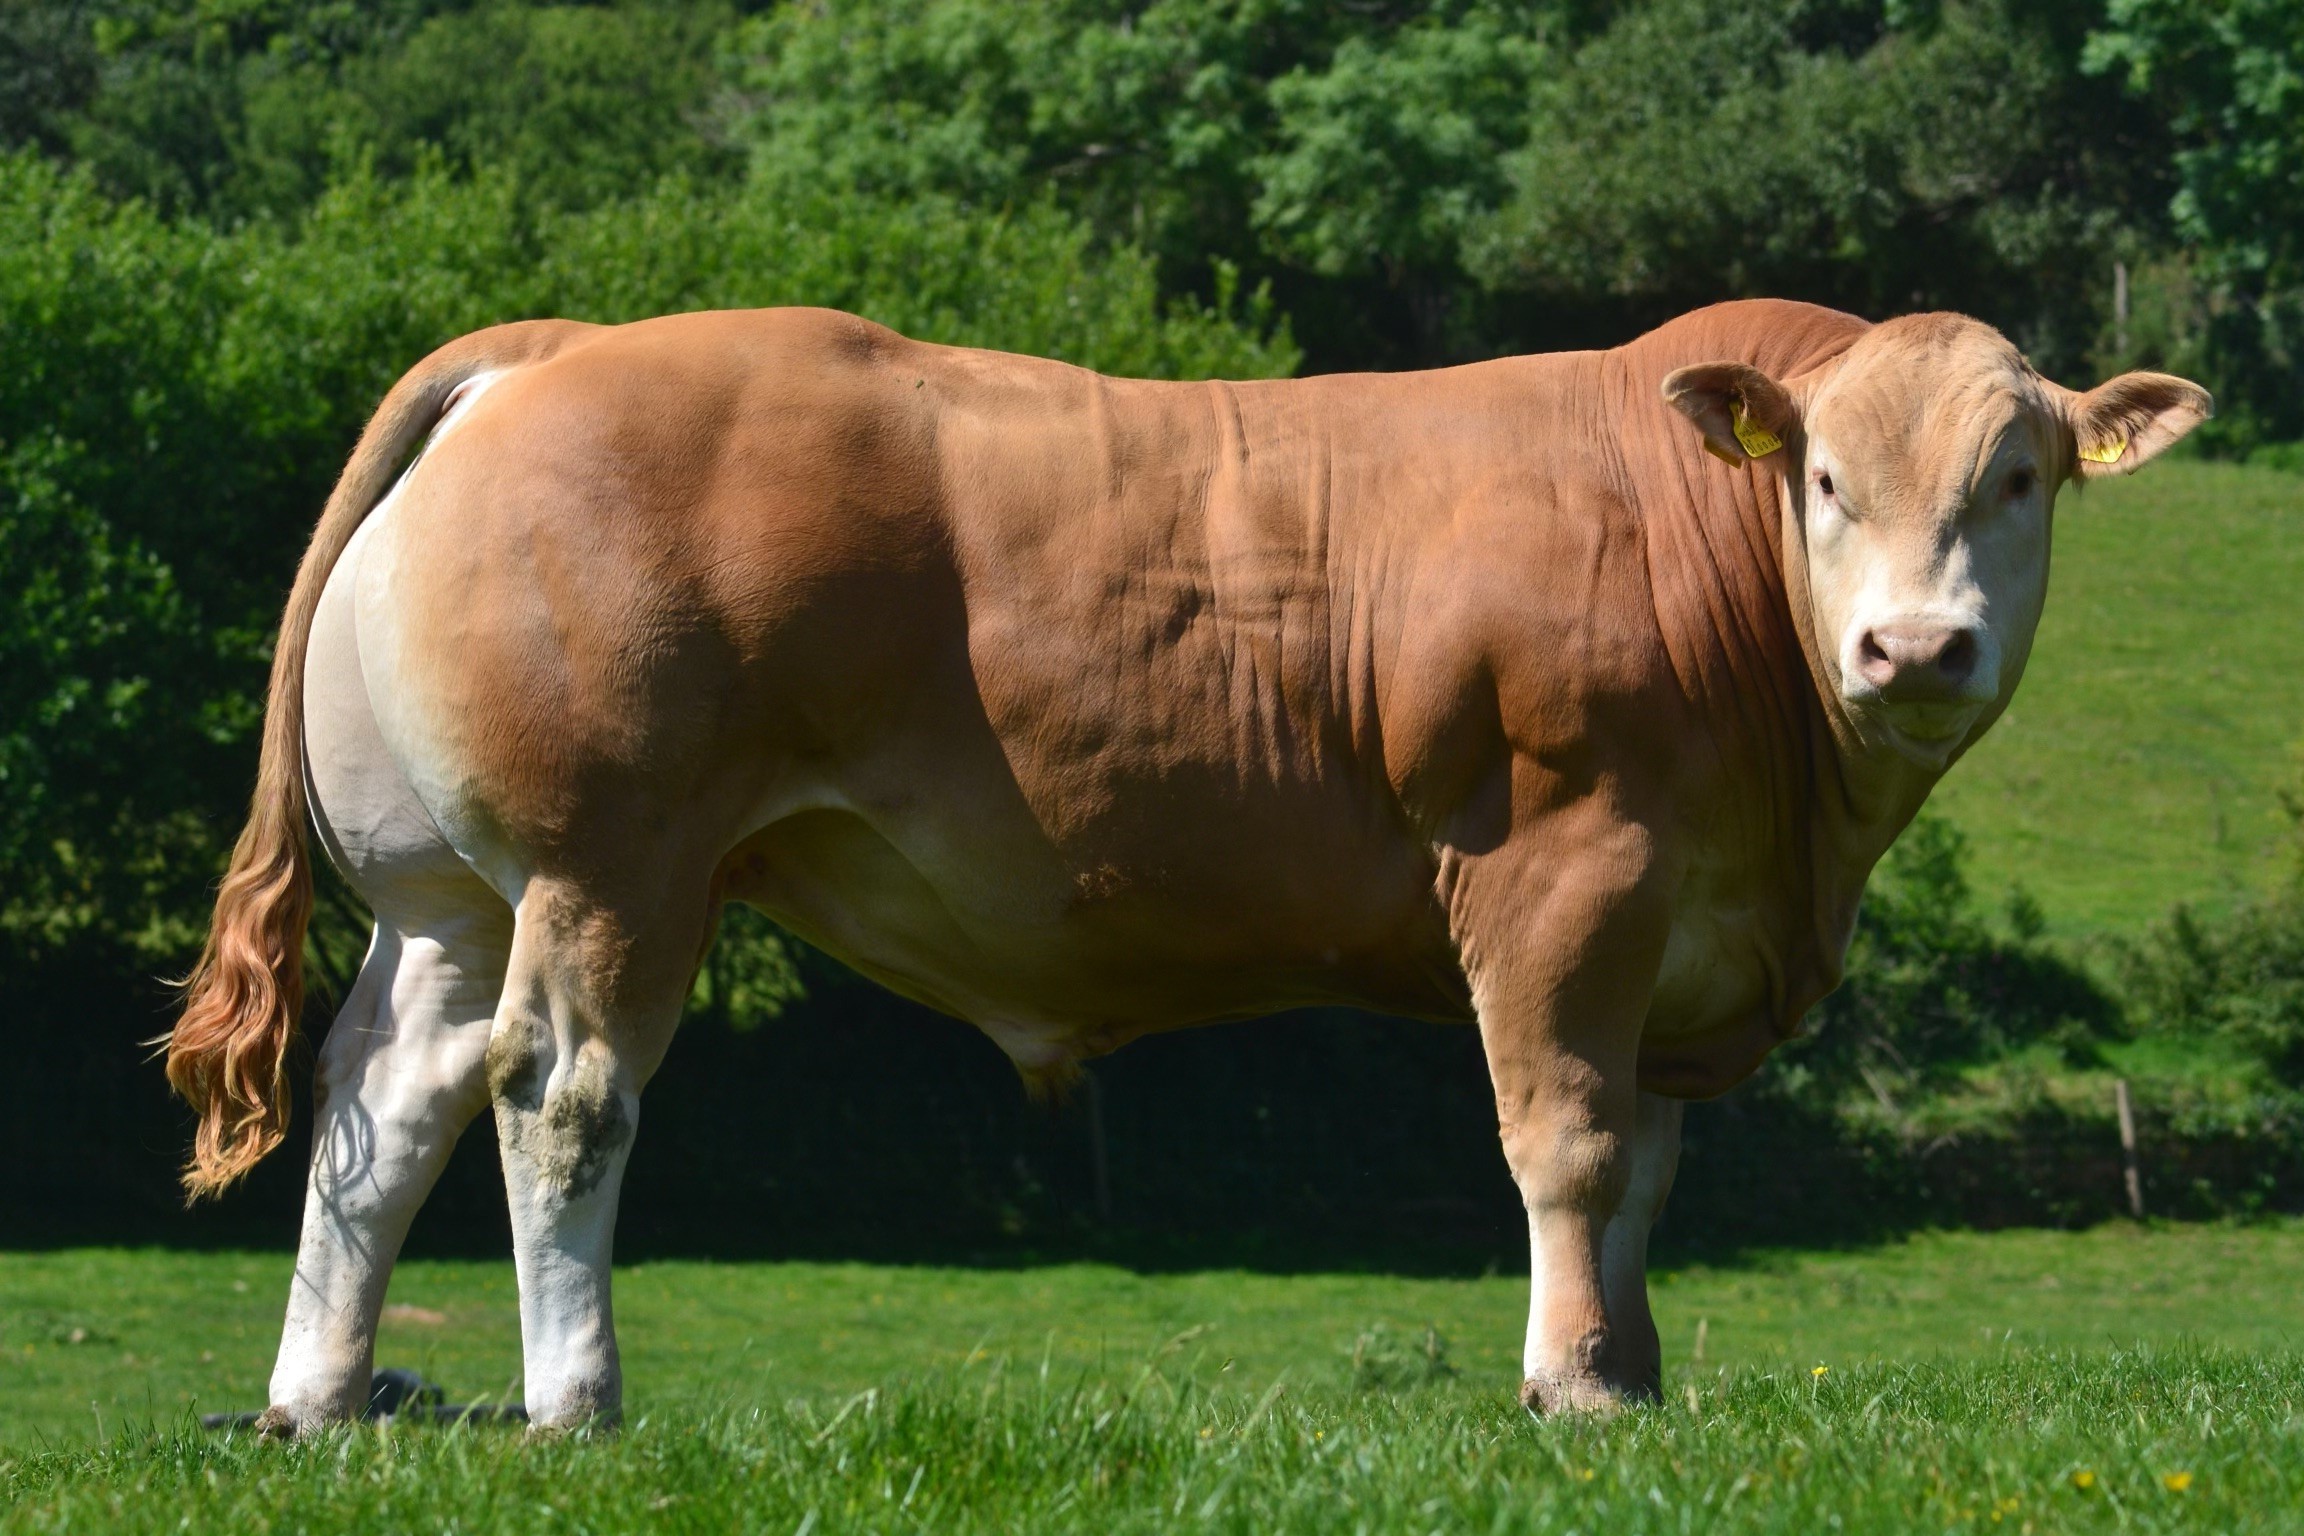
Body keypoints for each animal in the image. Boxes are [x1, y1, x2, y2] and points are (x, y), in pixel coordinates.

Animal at [165, 299, 2208, 1434]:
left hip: (450, 897)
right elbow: (1566, 1143)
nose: (1913, 649)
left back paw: (312, 1402)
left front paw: (1628, 1372)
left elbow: (1643, 1171)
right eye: (1826, 485)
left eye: (2016, 479)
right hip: (611, 862)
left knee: (384, 1105)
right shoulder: (1566, 877)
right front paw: (1567, 1388)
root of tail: (563, 348)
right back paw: (574, 1400)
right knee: (560, 1095)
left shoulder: (1677, 935)